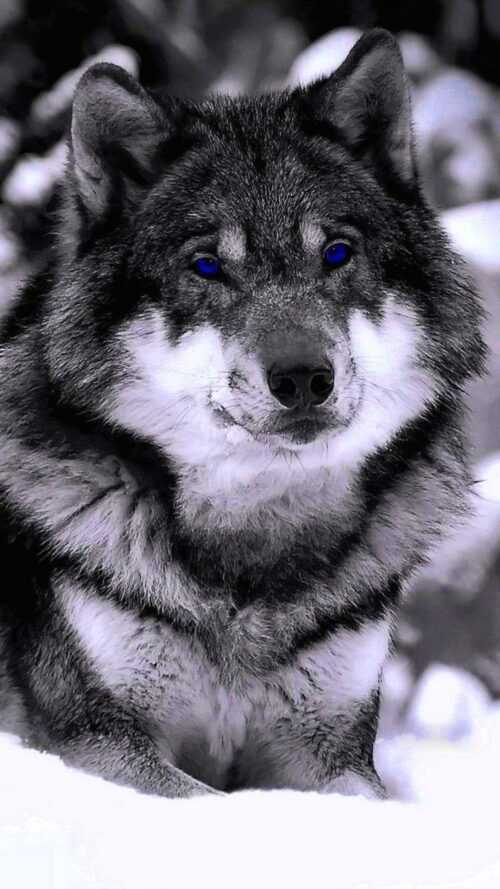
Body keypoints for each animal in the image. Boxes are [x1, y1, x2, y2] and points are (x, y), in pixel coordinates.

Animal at [0, 29, 484, 798]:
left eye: (336, 254)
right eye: (207, 267)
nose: (304, 377)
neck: (252, 557)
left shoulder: (332, 752)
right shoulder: (96, 740)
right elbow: (200, 799)